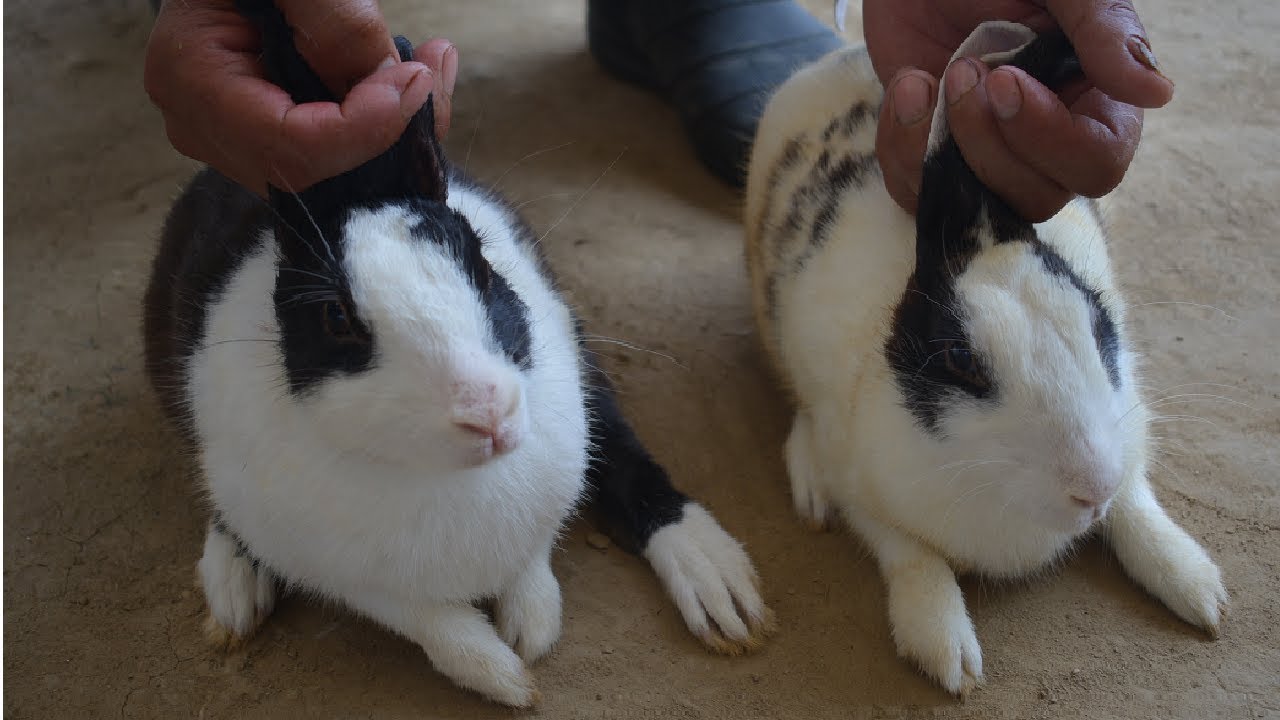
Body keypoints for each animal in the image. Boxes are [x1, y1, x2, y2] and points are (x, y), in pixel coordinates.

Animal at [142, 1, 771, 707]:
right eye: (336, 318)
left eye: (484, 266)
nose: (489, 414)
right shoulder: (358, 580)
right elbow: (435, 625)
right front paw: (508, 677)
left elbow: (553, 537)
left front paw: (535, 623)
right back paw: (234, 585)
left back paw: (718, 585)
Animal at [743, 21, 1228, 696]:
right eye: (962, 361)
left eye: (1097, 321)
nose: (1091, 489)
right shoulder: (865, 490)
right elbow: (912, 557)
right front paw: (948, 654)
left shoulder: (1128, 444)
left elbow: (1135, 506)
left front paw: (1198, 588)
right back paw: (809, 487)